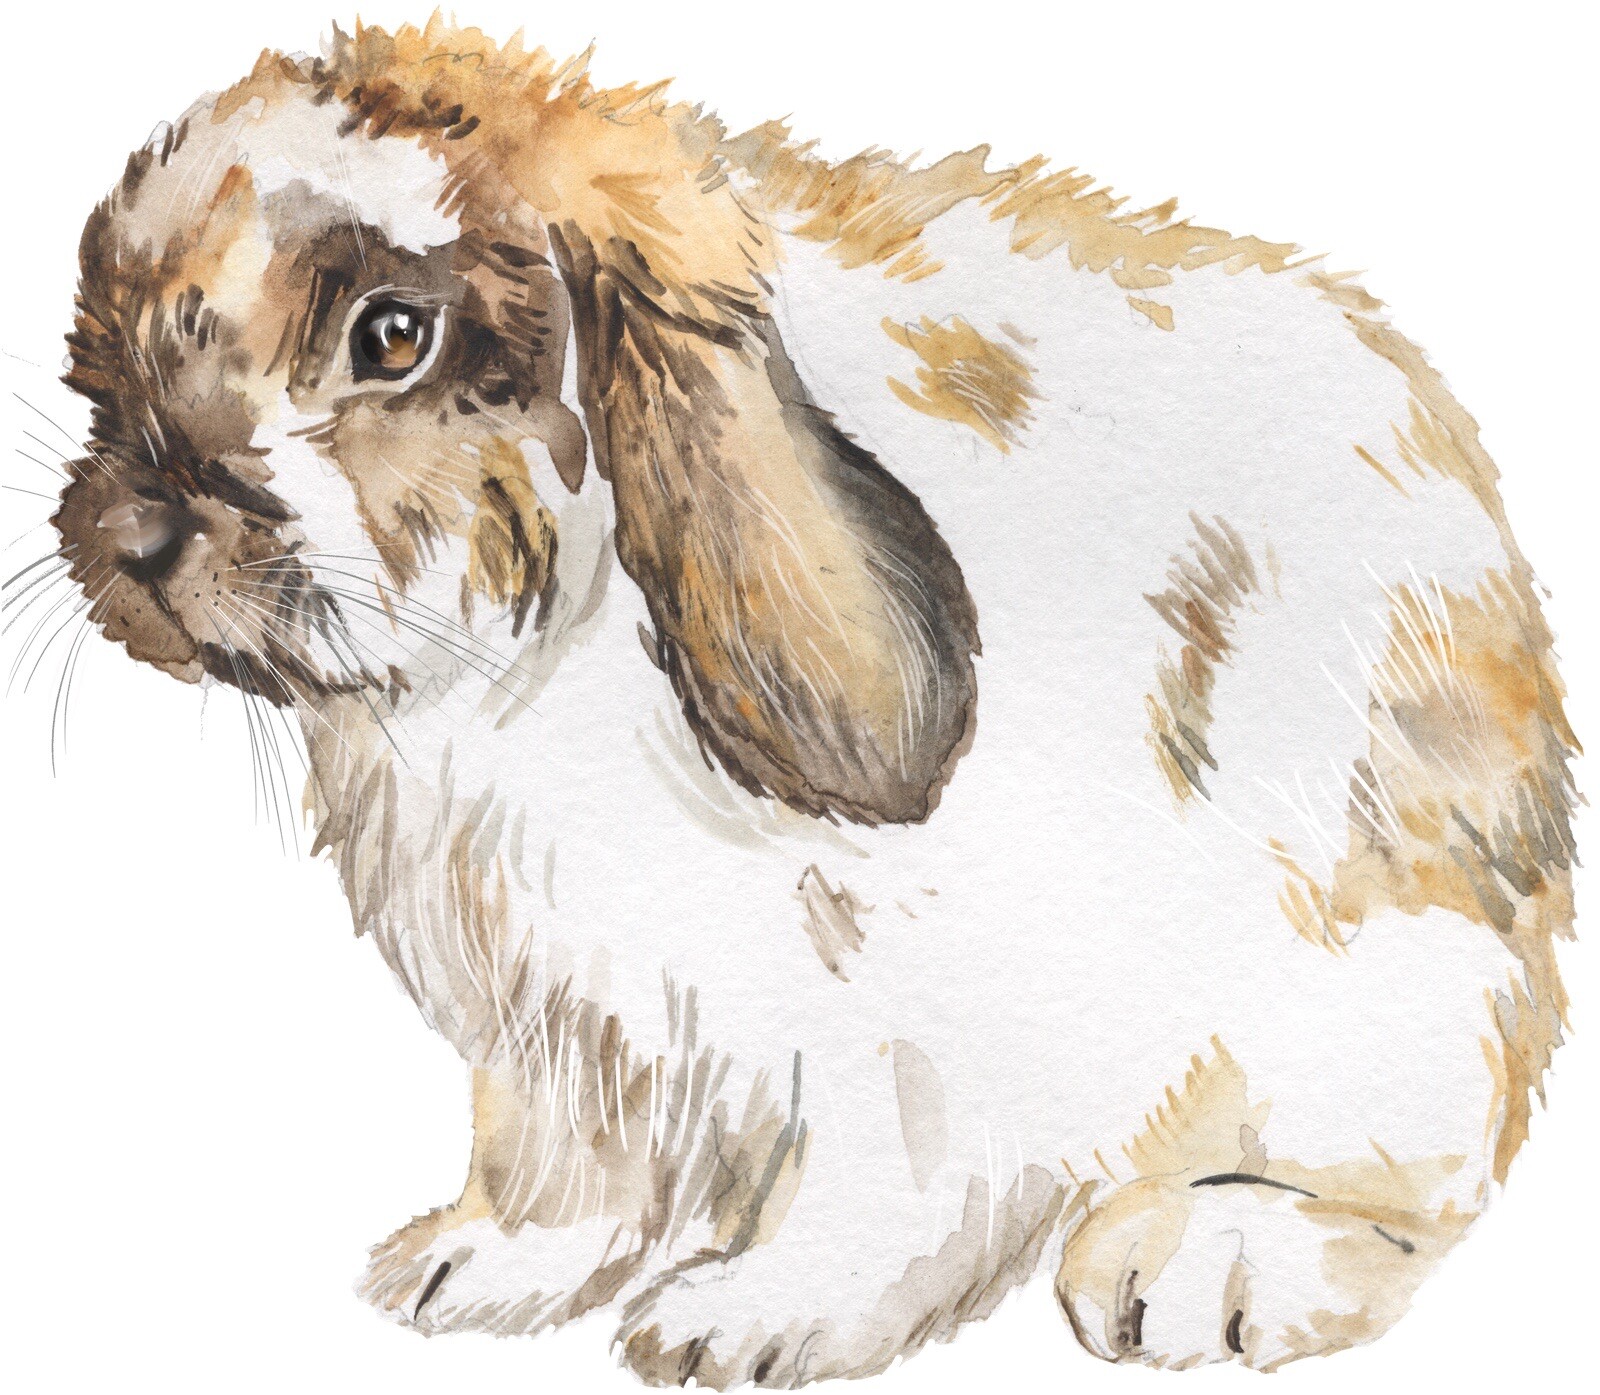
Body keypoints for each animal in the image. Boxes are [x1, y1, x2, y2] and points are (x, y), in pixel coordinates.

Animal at [30, 16, 1576, 1386]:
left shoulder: (898, 1006)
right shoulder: (553, 1016)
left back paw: (1197, 1267)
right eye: (103, 339)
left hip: (1386, 987)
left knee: (1411, 1181)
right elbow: (567, 1159)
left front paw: (744, 1322)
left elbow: (882, 1170)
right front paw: (472, 1268)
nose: (133, 530)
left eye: (392, 333)